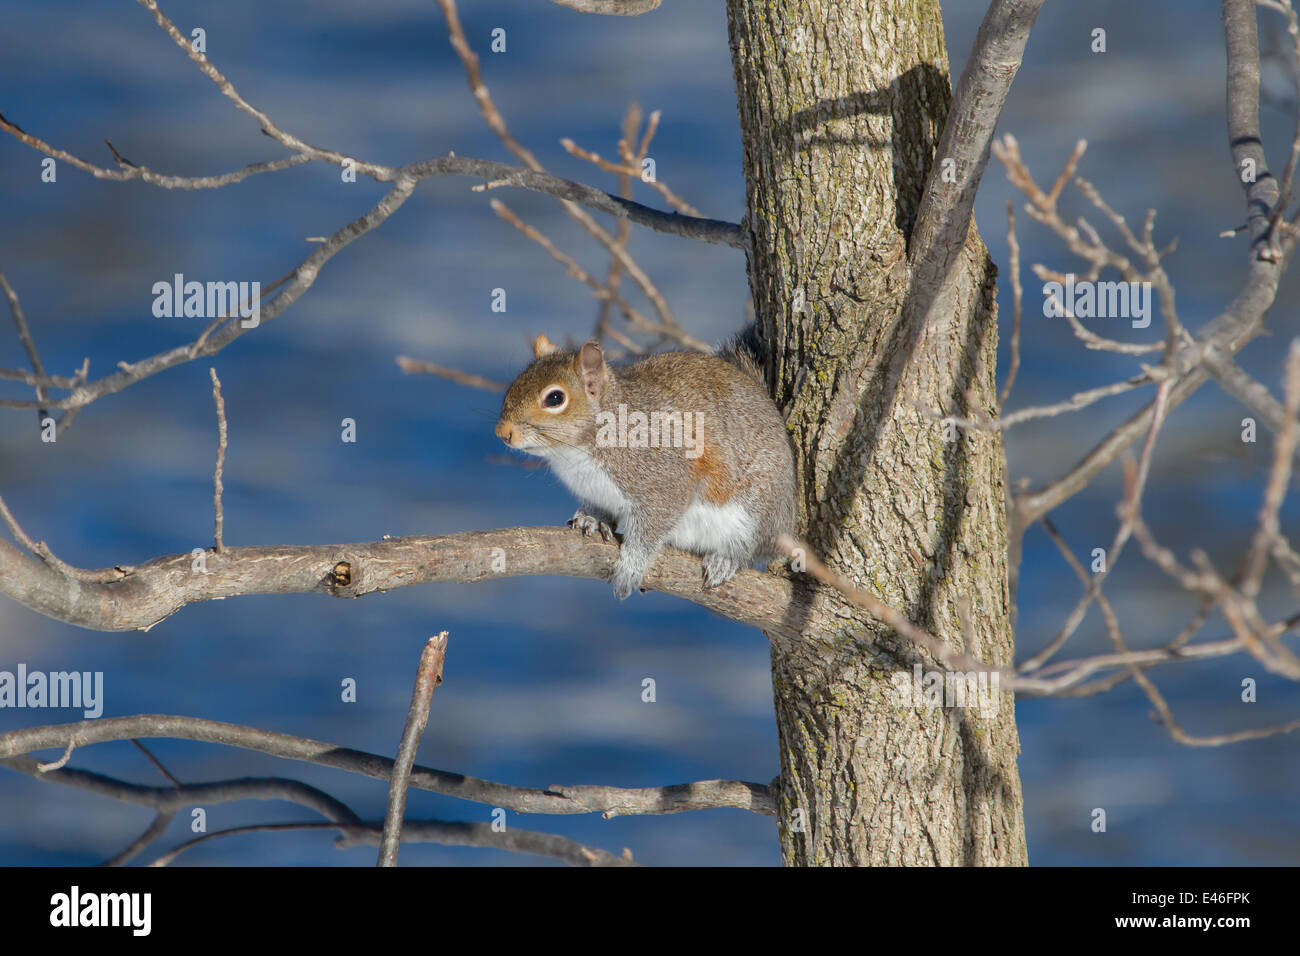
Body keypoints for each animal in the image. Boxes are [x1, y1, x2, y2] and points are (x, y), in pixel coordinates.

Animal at [495, 330, 796, 599]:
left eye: (555, 398)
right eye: (514, 384)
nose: (502, 433)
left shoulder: (664, 479)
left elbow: (652, 526)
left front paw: (631, 565)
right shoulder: (594, 490)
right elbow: (599, 509)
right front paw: (592, 519)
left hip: (757, 507)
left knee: (751, 544)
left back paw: (726, 559)